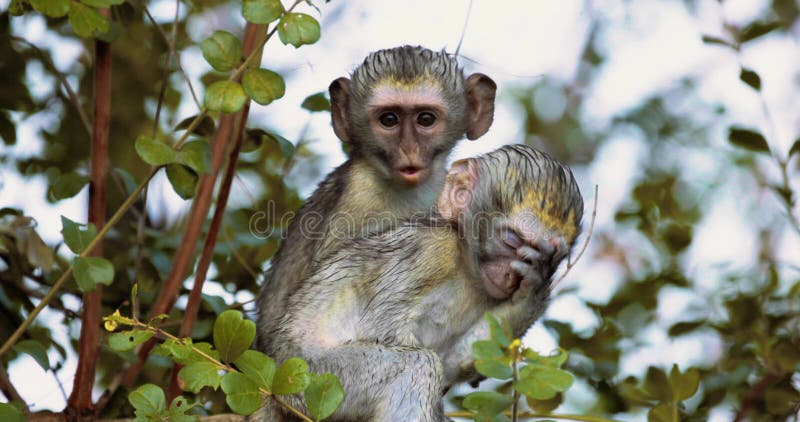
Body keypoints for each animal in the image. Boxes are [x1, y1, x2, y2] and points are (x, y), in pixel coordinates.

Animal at [263, 144, 584, 421]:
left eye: (551, 256)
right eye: (511, 240)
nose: (510, 277)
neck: (466, 270)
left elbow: (458, 361)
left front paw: (532, 290)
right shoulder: (431, 251)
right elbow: (384, 330)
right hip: (310, 377)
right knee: (417, 365)